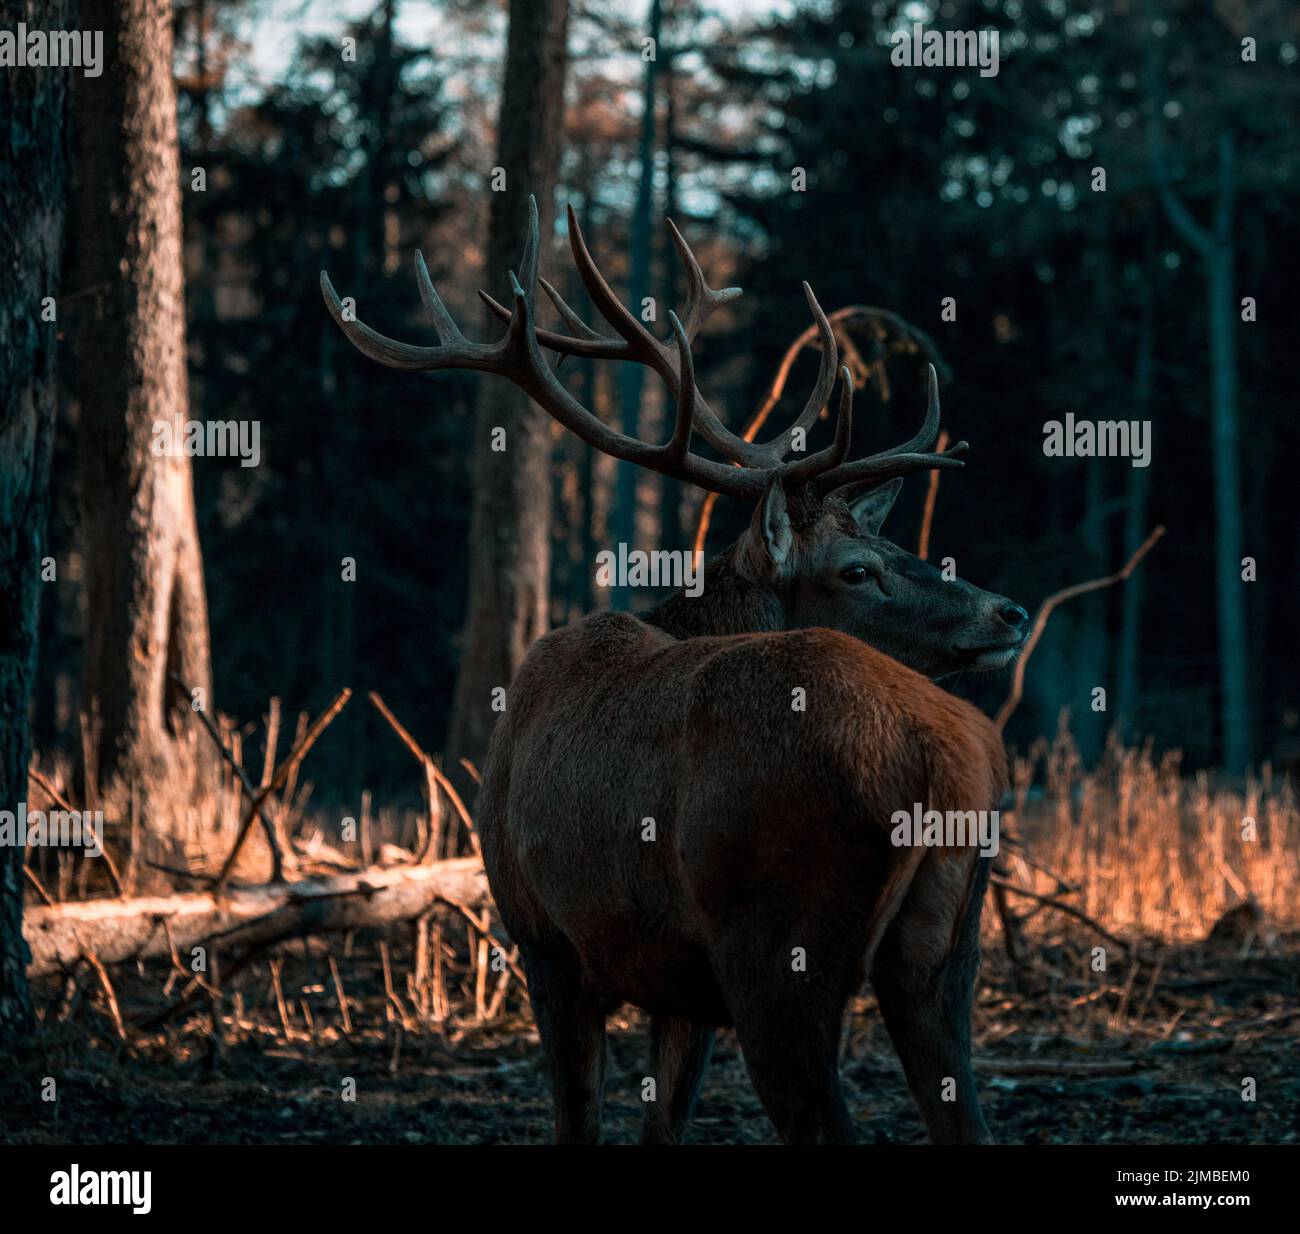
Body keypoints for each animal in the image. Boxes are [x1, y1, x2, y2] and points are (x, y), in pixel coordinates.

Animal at [322, 197, 1029, 1145]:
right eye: (859, 566)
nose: (1007, 613)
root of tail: (948, 760)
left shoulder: (543, 937)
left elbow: (579, 1121)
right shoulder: (676, 981)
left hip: (779, 948)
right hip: (944, 957)